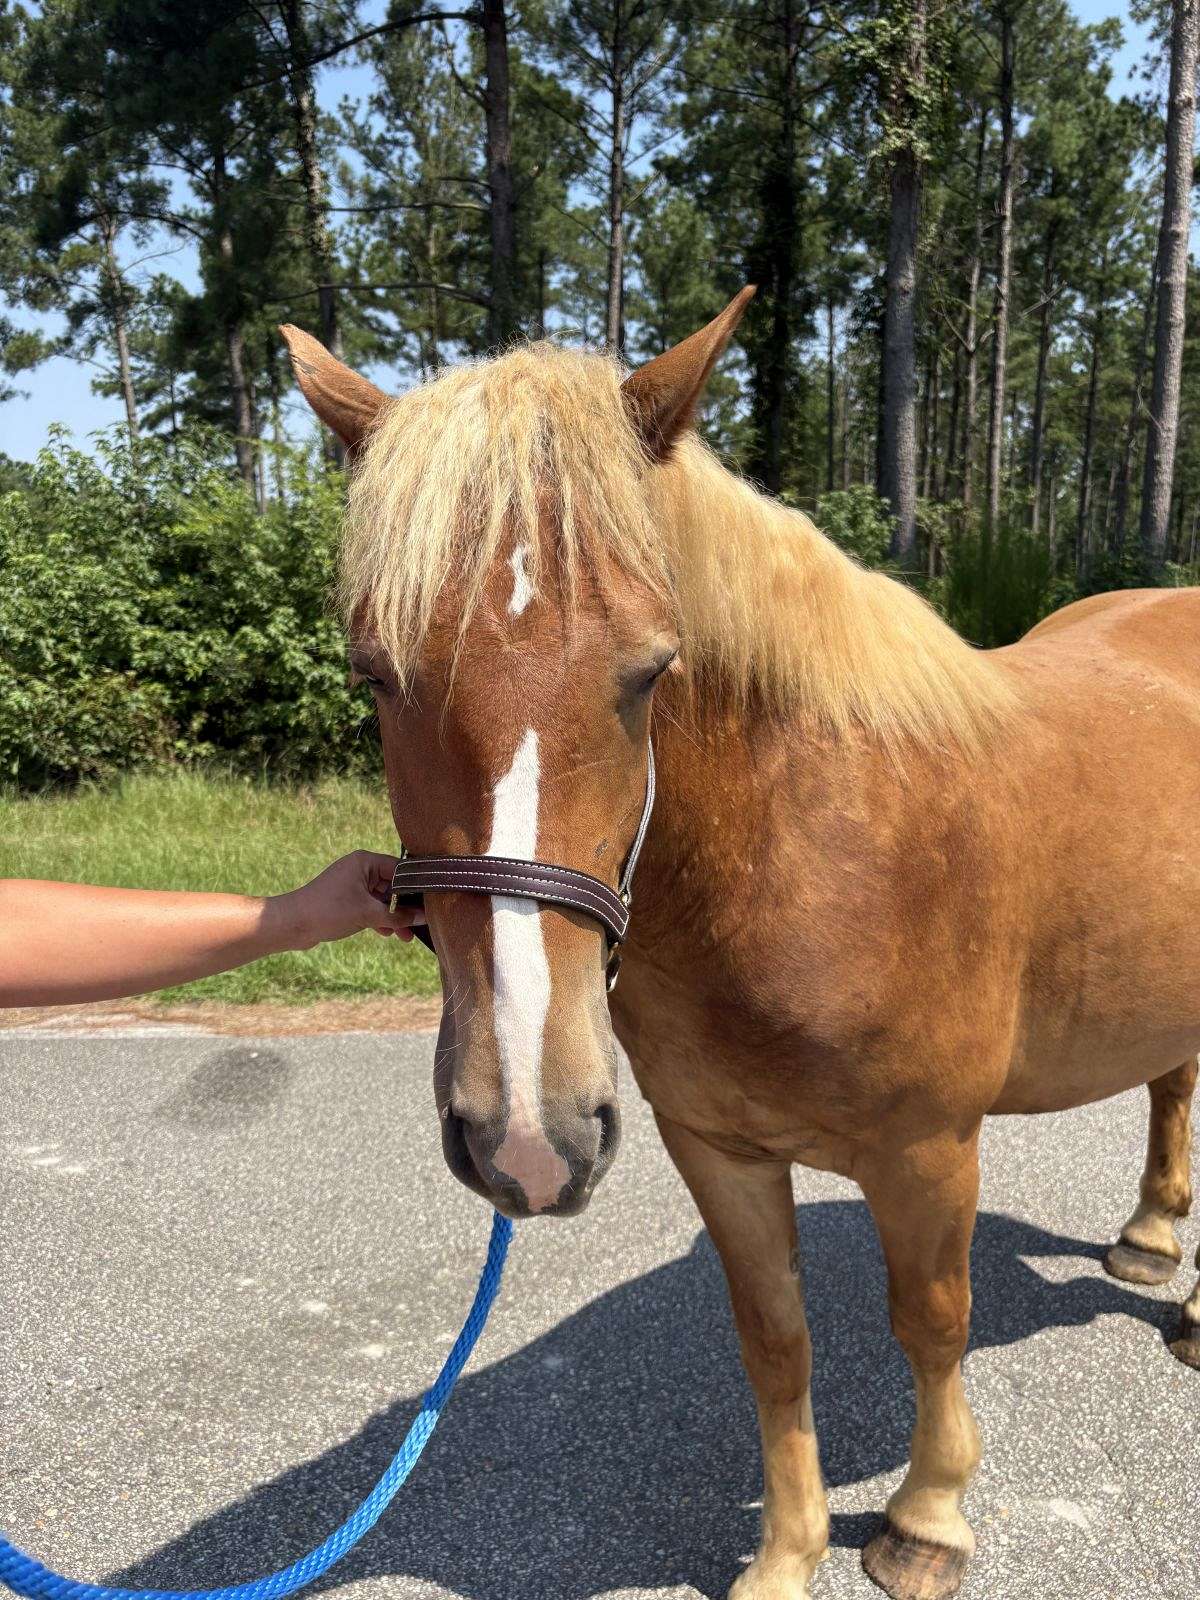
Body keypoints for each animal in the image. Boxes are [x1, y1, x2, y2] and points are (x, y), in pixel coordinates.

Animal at [280, 291, 1199, 1600]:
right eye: (374, 672)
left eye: (651, 671)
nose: (526, 1133)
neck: (810, 849)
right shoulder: (717, 1149)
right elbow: (774, 1340)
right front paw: (789, 1550)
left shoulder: (928, 1152)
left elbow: (931, 1323)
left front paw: (925, 1520)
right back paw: (1150, 1237)